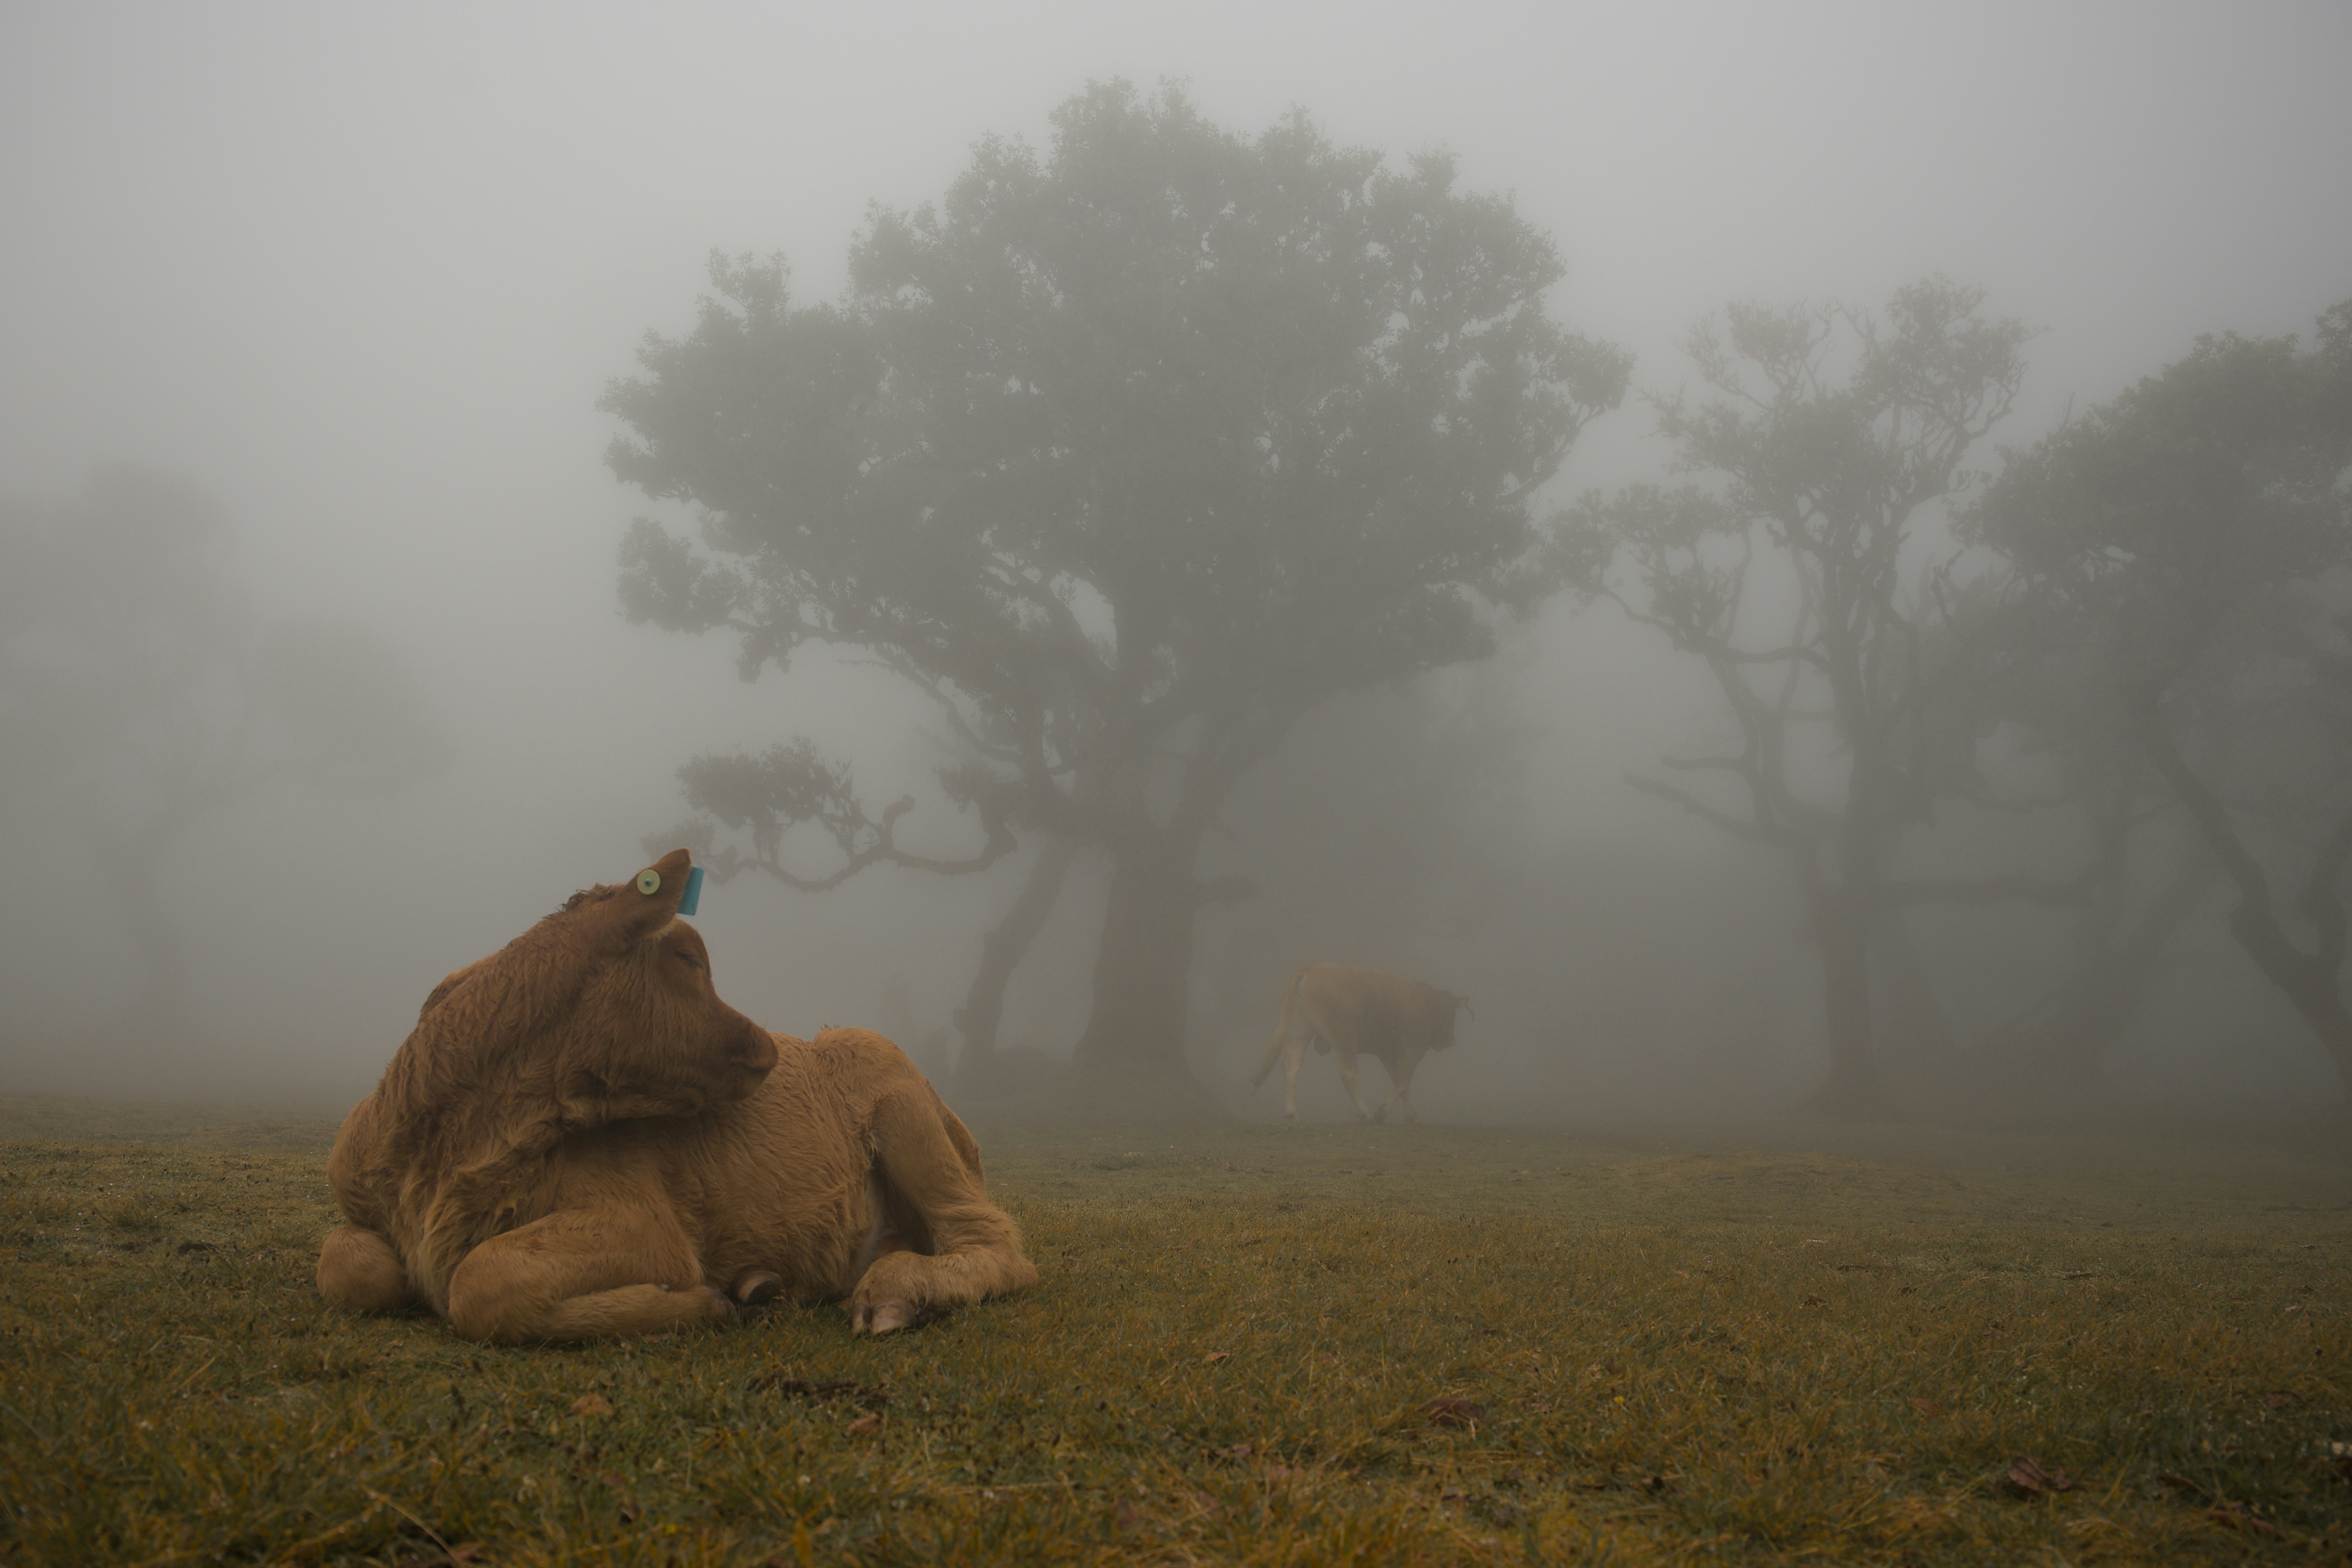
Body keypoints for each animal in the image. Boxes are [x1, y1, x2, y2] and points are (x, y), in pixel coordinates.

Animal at [315, 849, 1037, 1342]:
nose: (770, 1048)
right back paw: (766, 1282)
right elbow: (347, 1264)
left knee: (993, 1240)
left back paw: (893, 1291)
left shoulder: (644, 1225)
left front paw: (698, 1302)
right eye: (688, 959)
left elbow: (483, 1279)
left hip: (893, 1089)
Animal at [1249, 963, 1471, 1124]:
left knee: (1291, 1068)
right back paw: (1365, 1113)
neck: (1426, 1003)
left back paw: (1292, 1112)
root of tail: (1311, 967)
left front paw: (1411, 1115)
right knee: (1347, 1073)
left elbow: (1400, 1083)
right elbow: (1403, 1083)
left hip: (1299, 1033)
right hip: (1347, 1040)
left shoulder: (1388, 1054)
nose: (1451, 1041)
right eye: (1451, 1014)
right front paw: (1383, 1112)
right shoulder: (1410, 1050)